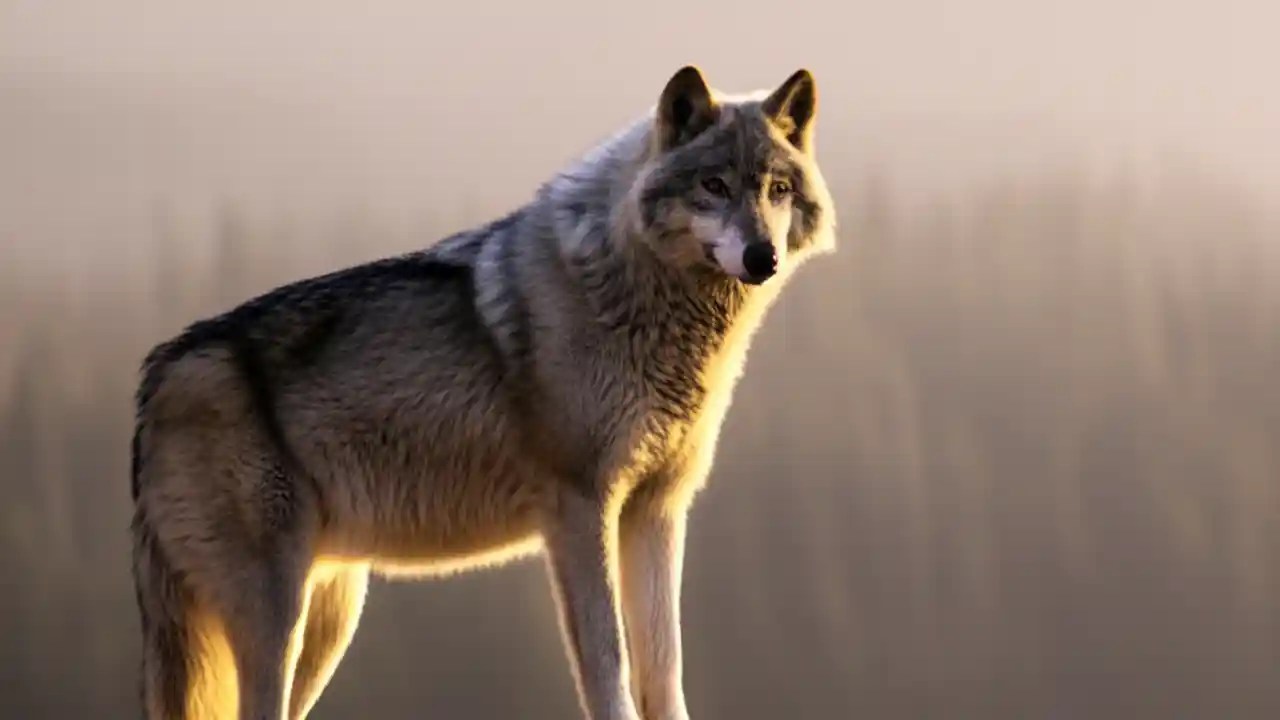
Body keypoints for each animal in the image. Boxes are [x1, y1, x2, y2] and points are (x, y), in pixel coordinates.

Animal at [130, 65, 836, 720]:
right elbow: (608, 665)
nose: (763, 256)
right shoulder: (580, 508)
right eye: (714, 186)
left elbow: (664, 668)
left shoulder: (657, 510)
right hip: (279, 619)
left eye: (777, 190)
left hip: (329, 617)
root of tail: (156, 372)